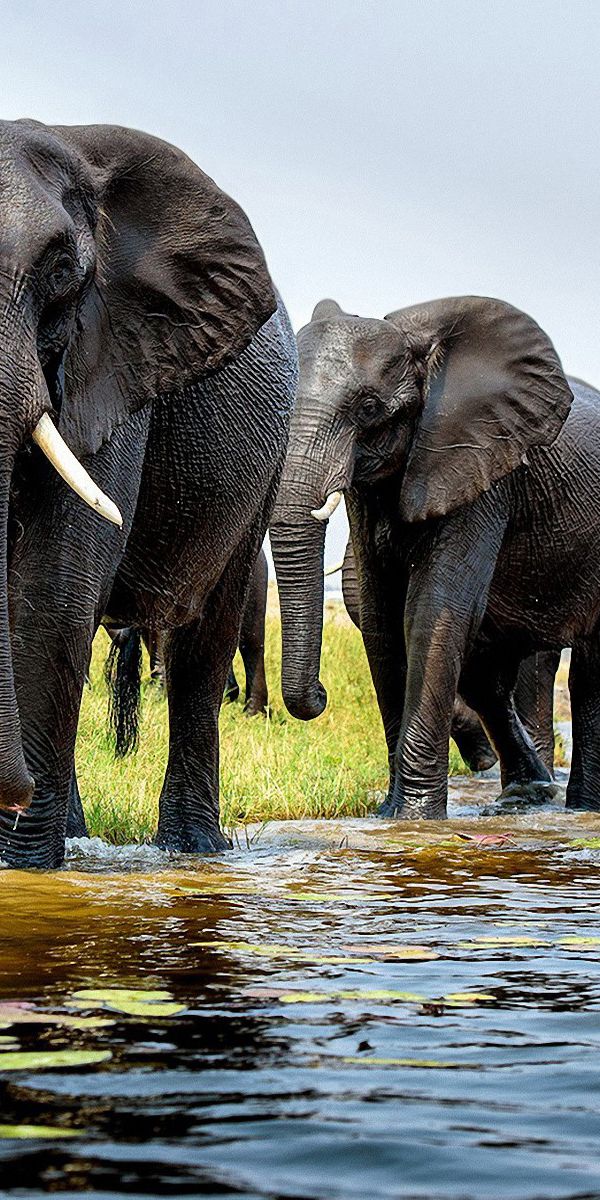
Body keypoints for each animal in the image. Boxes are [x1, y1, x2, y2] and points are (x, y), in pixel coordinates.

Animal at [0, 119, 296, 867]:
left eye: (60, 271)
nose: (11, 792)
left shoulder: (112, 359)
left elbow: (52, 592)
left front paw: (23, 871)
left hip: (261, 475)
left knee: (203, 646)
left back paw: (193, 850)